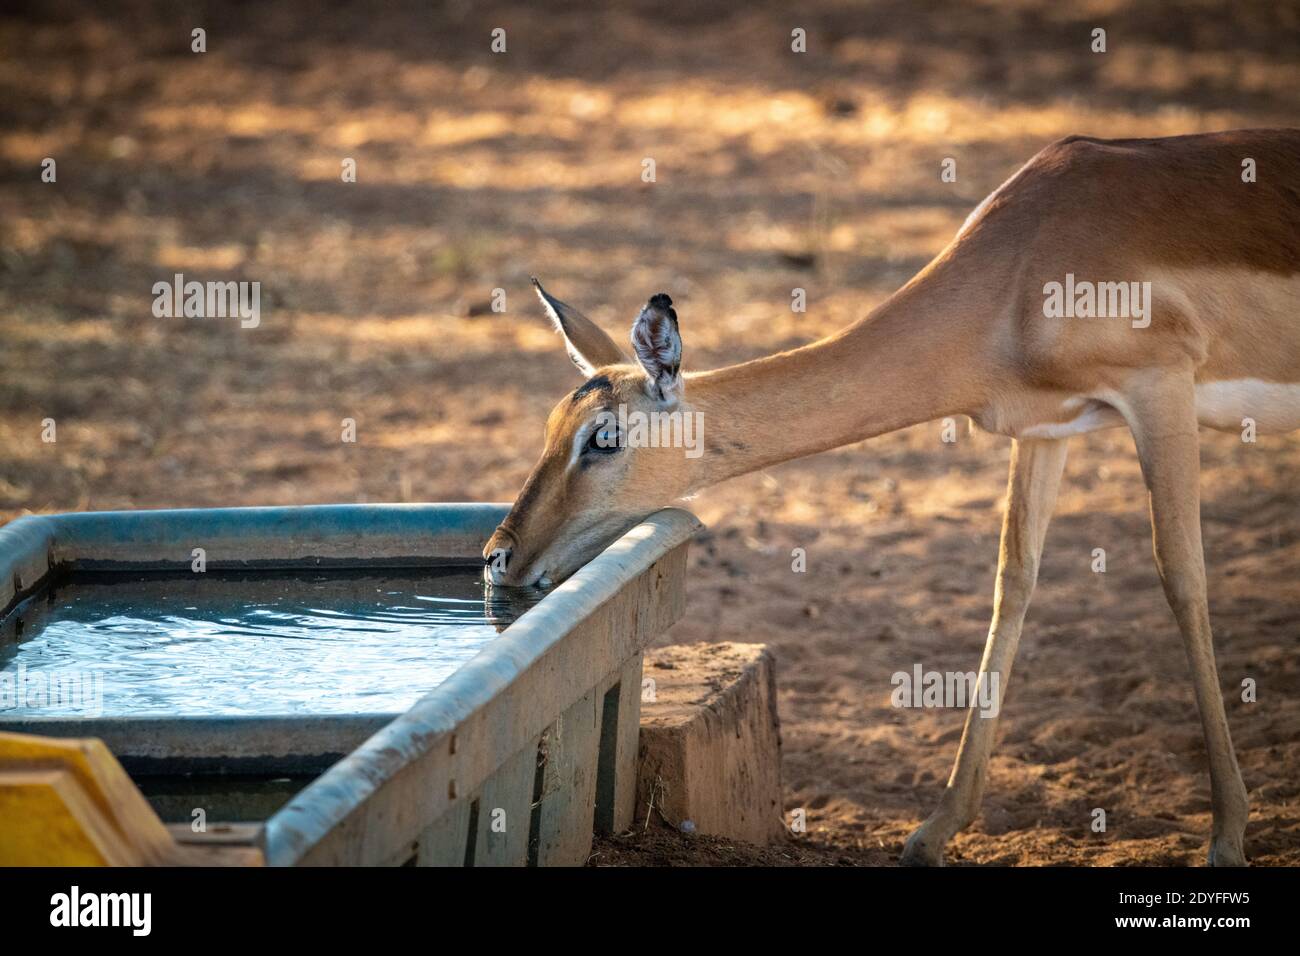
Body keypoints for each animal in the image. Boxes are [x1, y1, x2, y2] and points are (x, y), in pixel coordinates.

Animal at [483, 130, 1300, 866]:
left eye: (603, 438)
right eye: (552, 425)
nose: (498, 555)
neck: (1019, 272)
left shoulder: (1160, 390)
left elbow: (1183, 578)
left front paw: (1228, 837)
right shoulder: (1044, 429)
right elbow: (1013, 582)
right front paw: (933, 832)